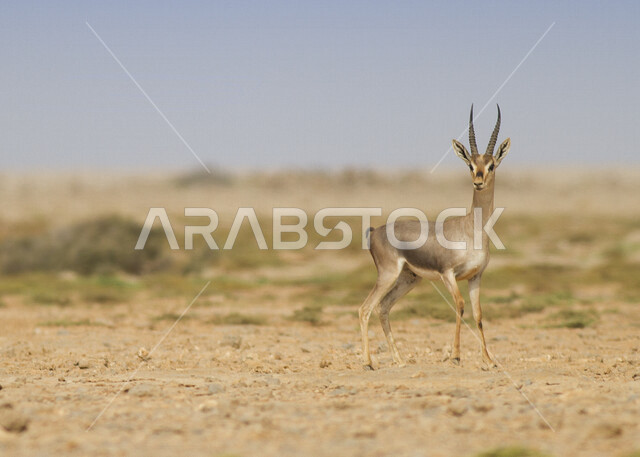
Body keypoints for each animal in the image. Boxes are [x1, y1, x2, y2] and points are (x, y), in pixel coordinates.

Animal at [358, 105, 511, 369]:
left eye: (491, 165)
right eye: (470, 165)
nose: (478, 181)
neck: (471, 228)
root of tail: (375, 231)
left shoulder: (476, 276)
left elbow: (478, 314)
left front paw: (488, 360)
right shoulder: (448, 274)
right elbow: (459, 306)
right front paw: (456, 356)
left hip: (408, 279)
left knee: (383, 307)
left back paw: (399, 360)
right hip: (388, 275)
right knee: (365, 308)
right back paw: (368, 363)